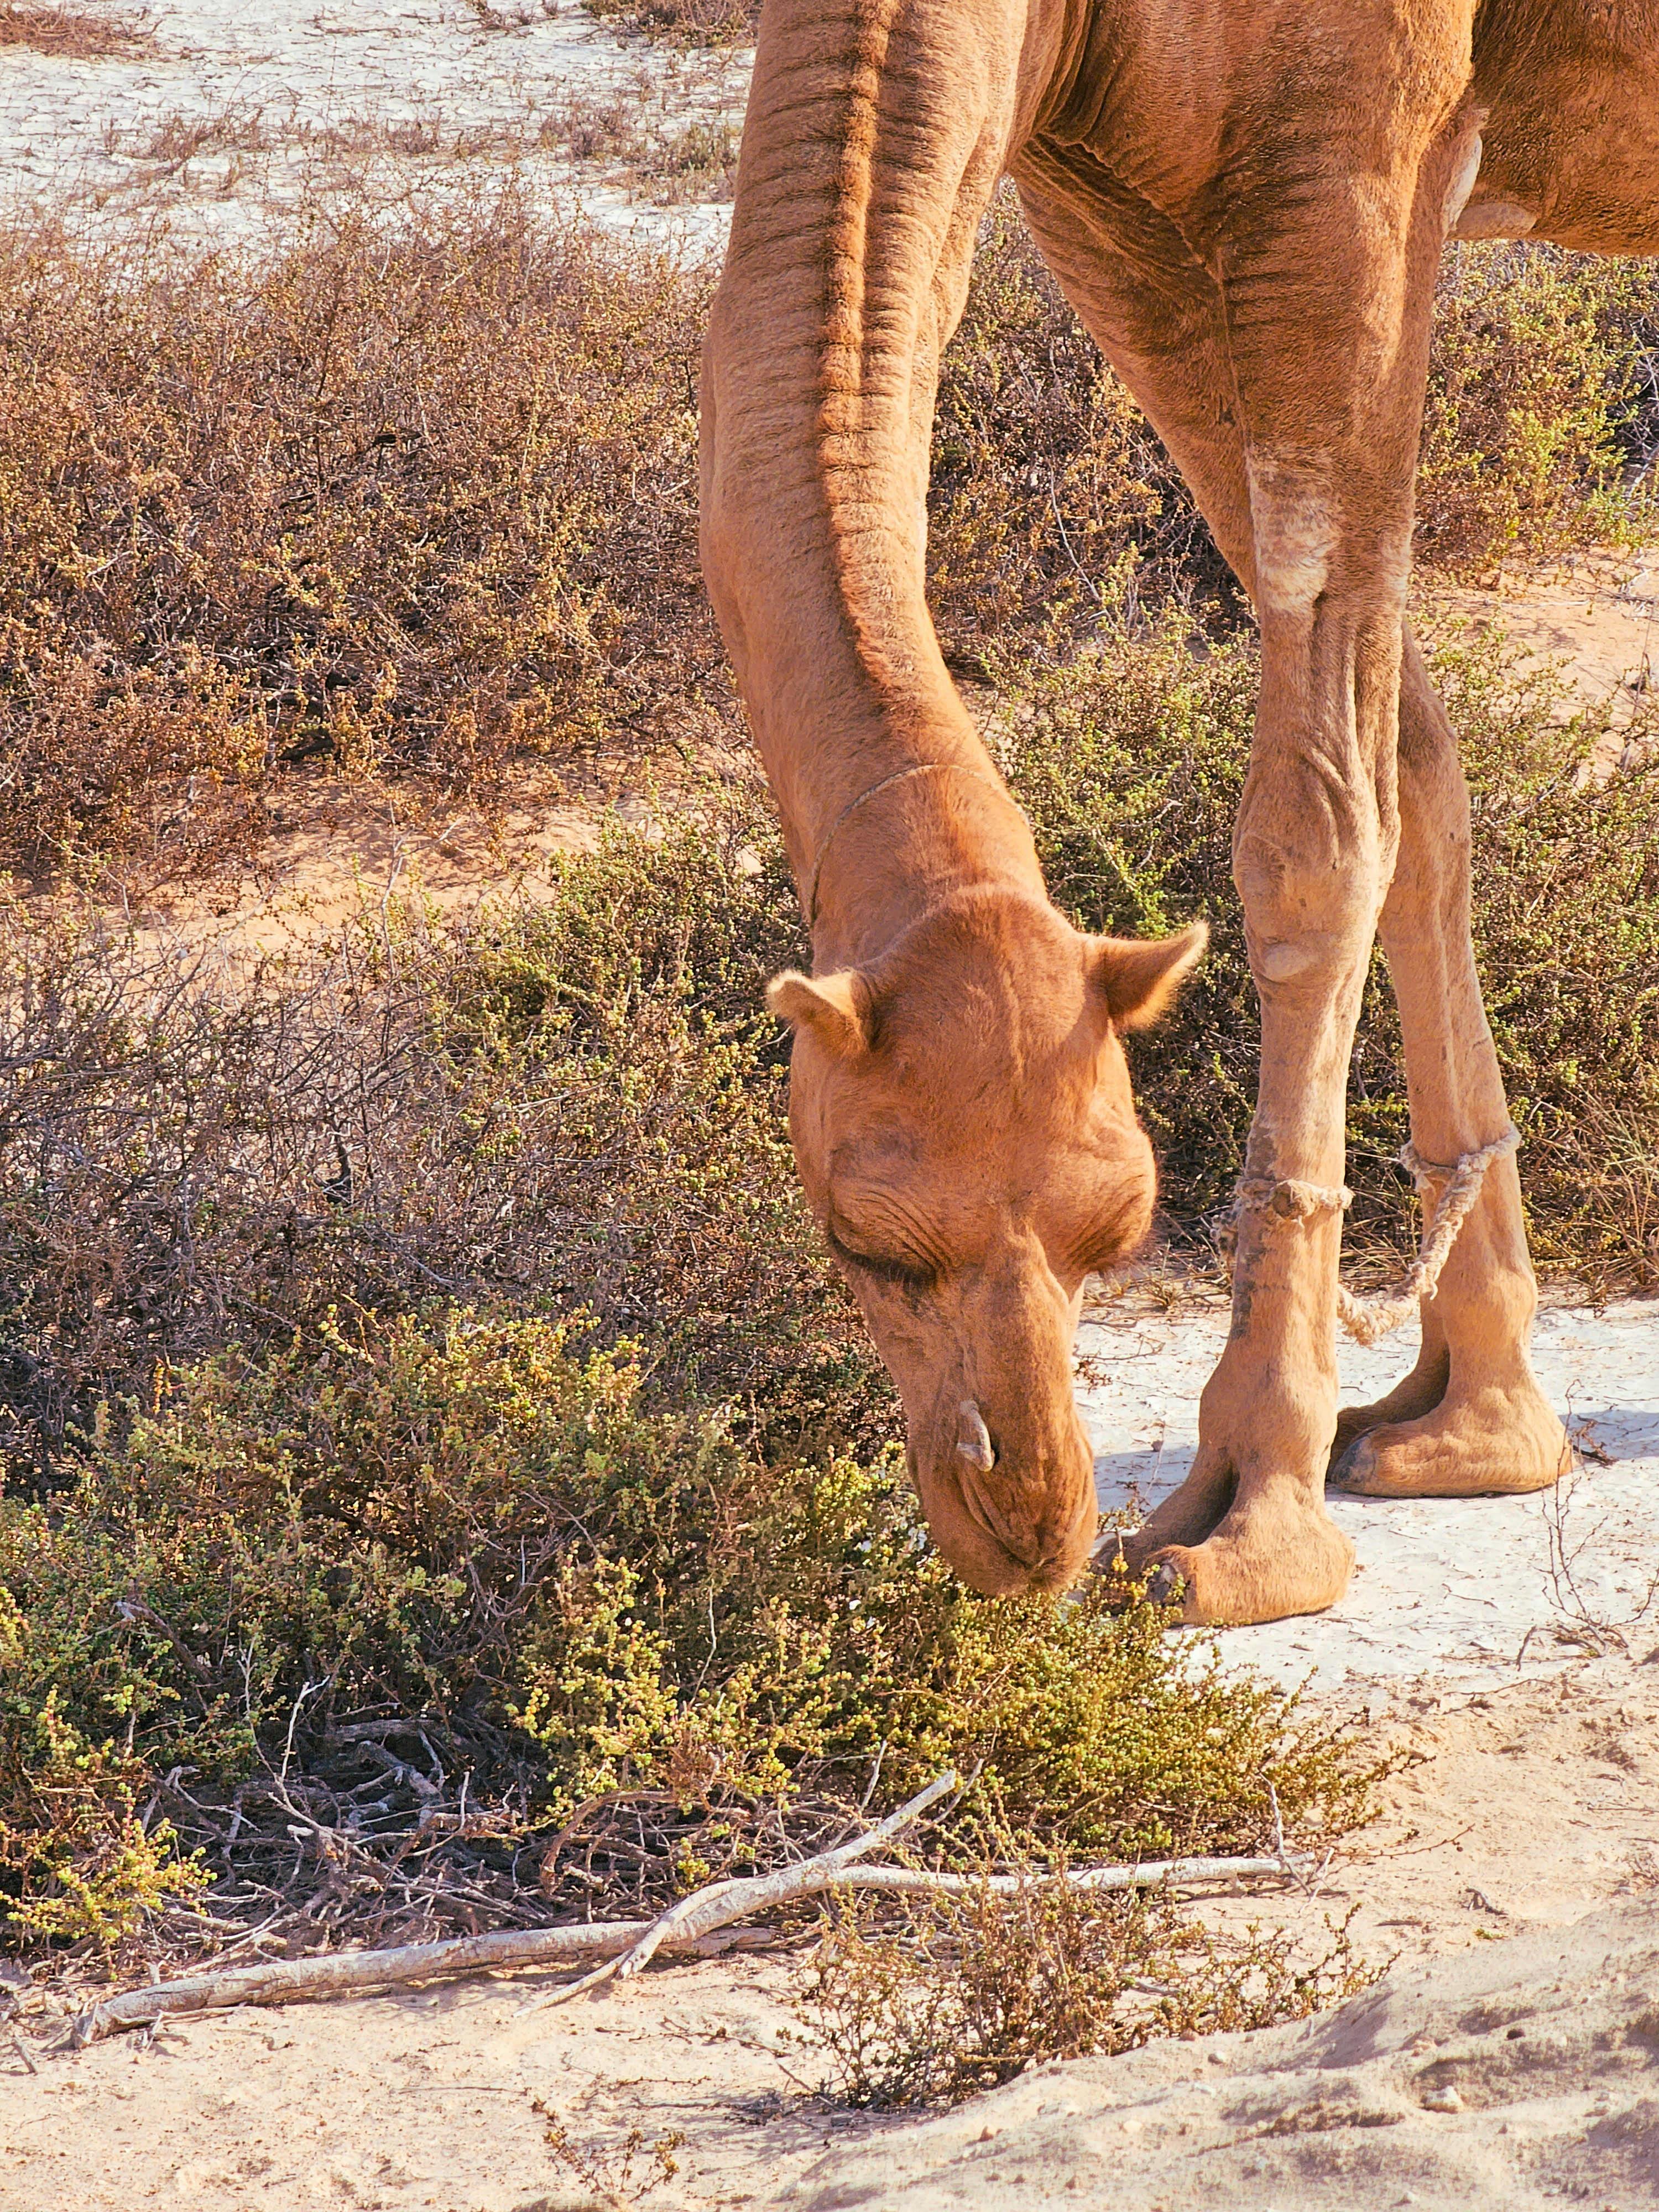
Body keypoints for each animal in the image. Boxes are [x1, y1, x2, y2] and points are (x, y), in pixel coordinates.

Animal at [698, 0, 1659, 1626]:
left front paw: (1252, 1513)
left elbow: (1314, 837)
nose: (1026, 1524)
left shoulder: (1358, 177)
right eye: (858, 1239)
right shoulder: (1112, 208)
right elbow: (1414, 772)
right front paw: (1474, 1415)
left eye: (1126, 1226)